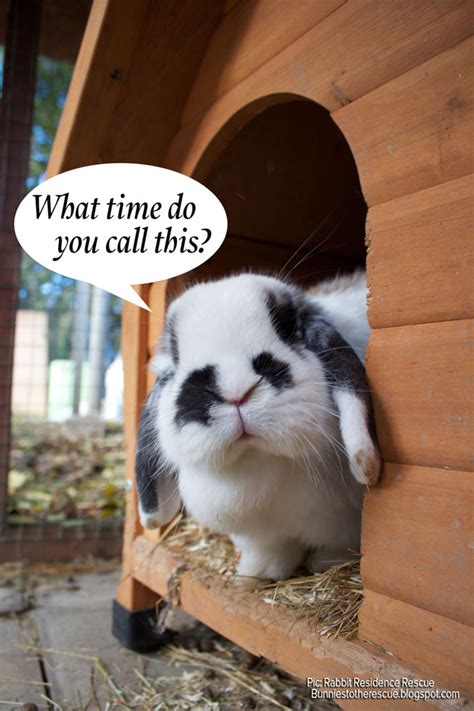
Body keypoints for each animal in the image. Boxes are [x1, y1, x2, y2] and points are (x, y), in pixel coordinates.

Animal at [135, 270, 381, 580]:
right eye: (176, 356)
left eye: (286, 326)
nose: (235, 392)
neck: (260, 463)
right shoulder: (262, 535)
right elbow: (272, 550)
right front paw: (257, 574)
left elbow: (337, 546)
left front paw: (324, 563)